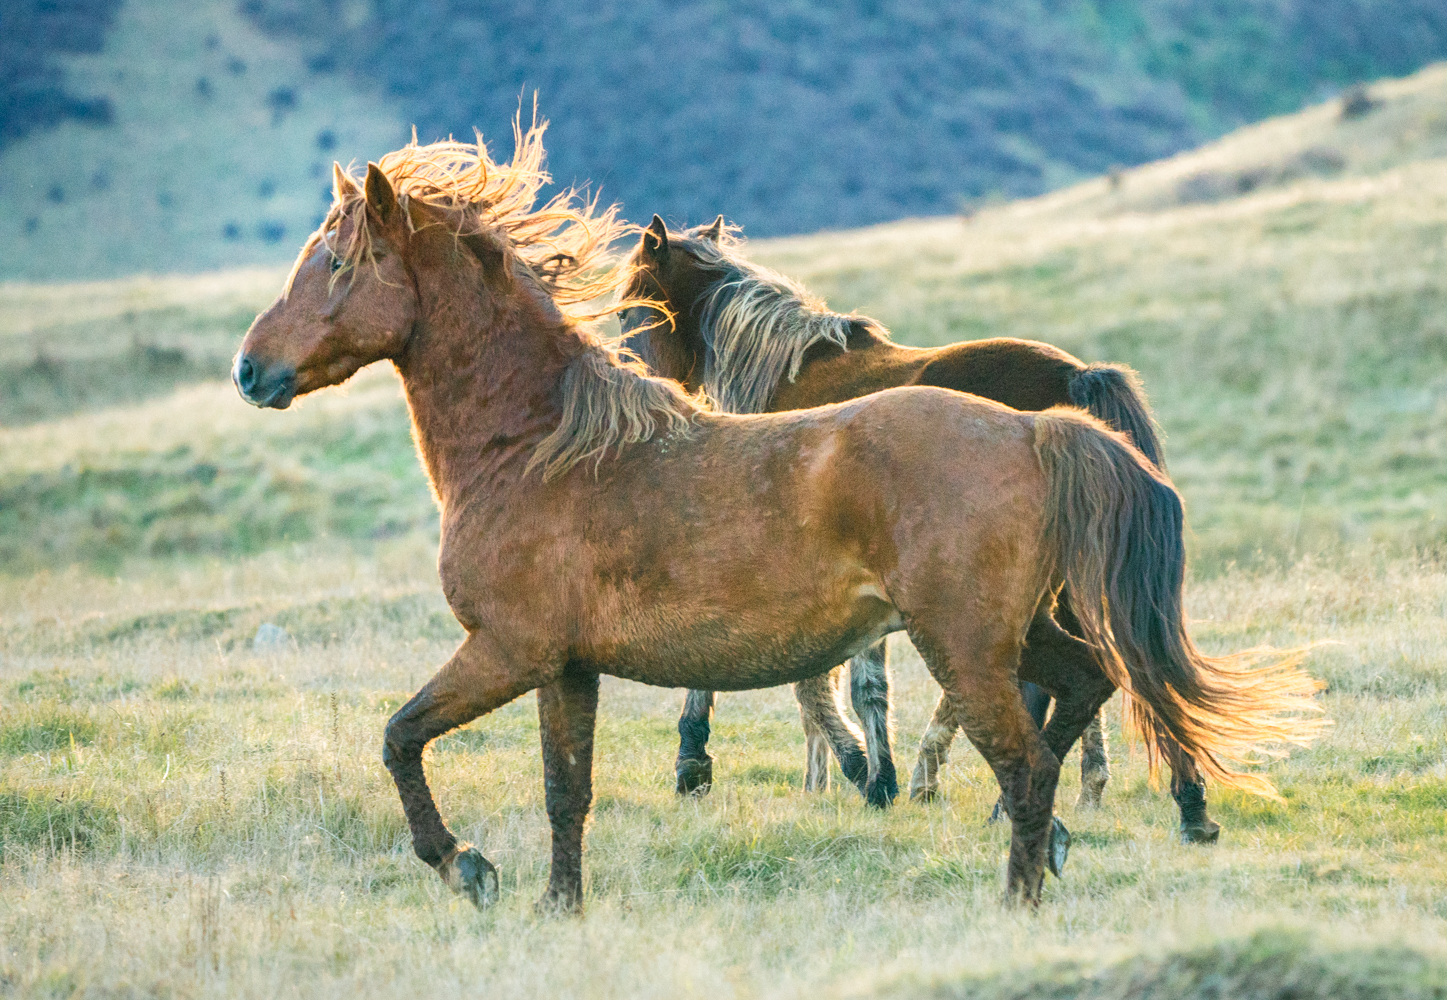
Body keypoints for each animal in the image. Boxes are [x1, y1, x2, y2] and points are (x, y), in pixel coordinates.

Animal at [619, 216, 1207, 840]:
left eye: (629, 310)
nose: (636, 384)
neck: (782, 375)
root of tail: (1078, 378)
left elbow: (822, 681)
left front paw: (709, 763)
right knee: (1133, 661)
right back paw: (1186, 803)